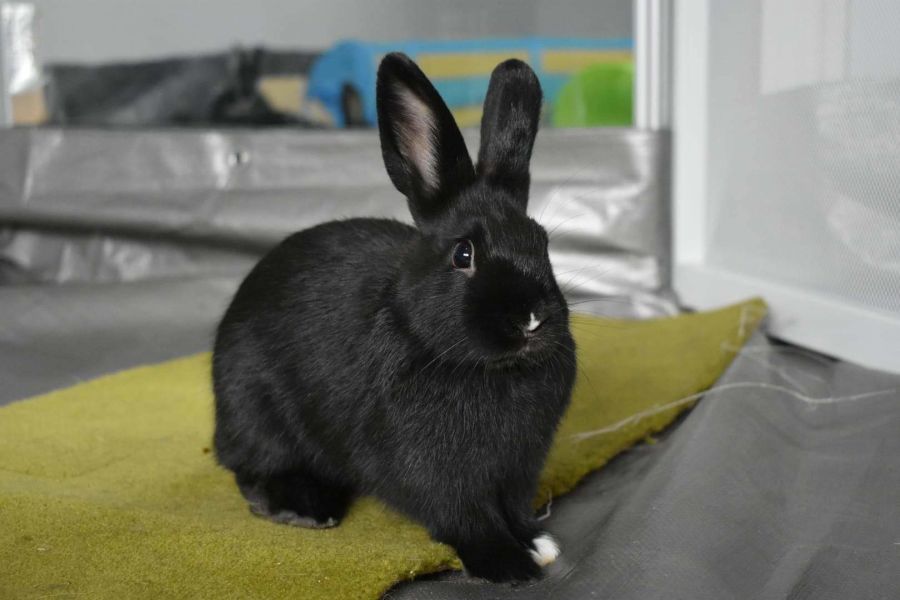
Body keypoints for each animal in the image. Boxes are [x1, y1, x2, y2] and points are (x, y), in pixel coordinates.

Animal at [212, 52, 576, 583]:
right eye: (463, 254)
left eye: (543, 245)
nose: (530, 319)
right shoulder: (435, 473)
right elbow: (467, 517)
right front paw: (507, 564)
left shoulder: (517, 469)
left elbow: (512, 507)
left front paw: (536, 543)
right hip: (254, 409)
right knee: (252, 468)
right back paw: (305, 508)